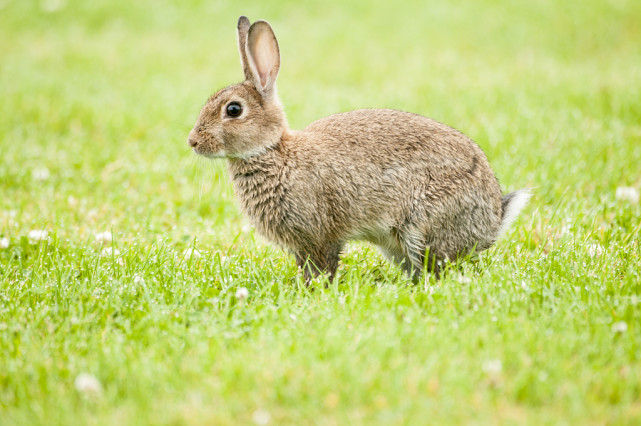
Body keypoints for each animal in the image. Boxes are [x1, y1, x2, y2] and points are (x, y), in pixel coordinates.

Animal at [187, 16, 530, 282]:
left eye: (233, 110)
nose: (192, 141)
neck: (275, 153)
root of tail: (493, 221)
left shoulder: (320, 234)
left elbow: (323, 265)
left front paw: (316, 291)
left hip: (422, 227)